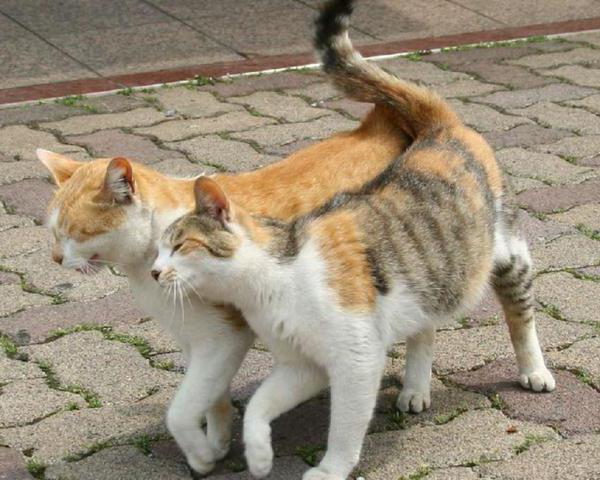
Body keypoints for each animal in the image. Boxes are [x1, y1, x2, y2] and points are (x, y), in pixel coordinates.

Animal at [36, 44, 412, 476]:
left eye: (76, 232)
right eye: (52, 230)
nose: (55, 257)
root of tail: (373, 127)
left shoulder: (223, 337)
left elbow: (180, 412)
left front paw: (199, 454)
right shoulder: (196, 341)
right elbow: (211, 397)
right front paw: (216, 442)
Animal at [152, 1, 556, 478]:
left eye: (180, 245)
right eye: (158, 248)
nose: (154, 270)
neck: (272, 281)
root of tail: (440, 130)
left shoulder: (356, 359)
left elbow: (344, 425)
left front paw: (329, 469)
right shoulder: (301, 363)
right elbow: (259, 406)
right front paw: (259, 454)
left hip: (504, 253)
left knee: (520, 311)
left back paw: (533, 369)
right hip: (428, 281)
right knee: (424, 330)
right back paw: (416, 388)